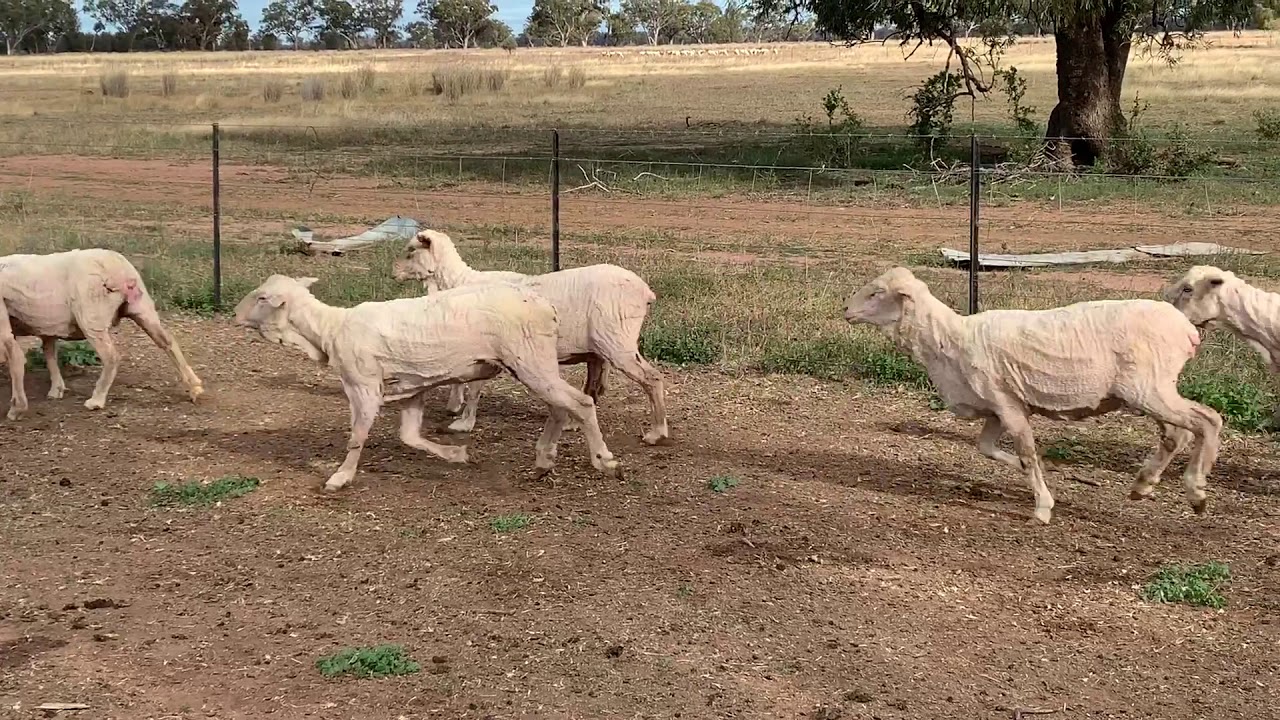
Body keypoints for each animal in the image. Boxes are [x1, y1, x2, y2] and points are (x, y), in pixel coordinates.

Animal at [0, 248, 203, 412]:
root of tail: (120, 271)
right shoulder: (47, 325)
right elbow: (49, 352)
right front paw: (56, 389)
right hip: (141, 307)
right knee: (167, 341)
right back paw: (195, 387)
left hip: (91, 316)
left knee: (111, 356)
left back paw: (96, 400)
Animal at [231, 275, 622, 492]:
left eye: (262, 297)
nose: (234, 314)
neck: (327, 330)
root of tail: (546, 307)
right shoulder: (412, 387)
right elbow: (410, 436)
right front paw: (456, 454)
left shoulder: (363, 387)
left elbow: (356, 437)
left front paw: (340, 477)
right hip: (532, 363)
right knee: (561, 407)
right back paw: (543, 460)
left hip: (530, 359)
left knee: (580, 403)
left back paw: (603, 459)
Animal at [392, 229, 669, 446]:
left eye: (411, 250)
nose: (393, 273)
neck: (457, 283)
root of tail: (646, 291)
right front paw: (454, 407)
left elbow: (474, 389)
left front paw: (463, 423)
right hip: (598, 349)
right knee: (593, 388)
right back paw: (573, 424)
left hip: (617, 342)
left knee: (652, 379)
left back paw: (656, 433)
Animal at [844, 267, 1223, 524]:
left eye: (877, 293)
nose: (845, 310)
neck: (948, 340)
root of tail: (1187, 329)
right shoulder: (999, 407)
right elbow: (988, 449)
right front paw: (1042, 472)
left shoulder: (1007, 405)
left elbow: (1026, 454)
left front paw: (1042, 507)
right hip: (1152, 390)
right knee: (1177, 433)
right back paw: (1144, 485)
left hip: (1149, 388)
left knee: (1207, 420)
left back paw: (1197, 492)